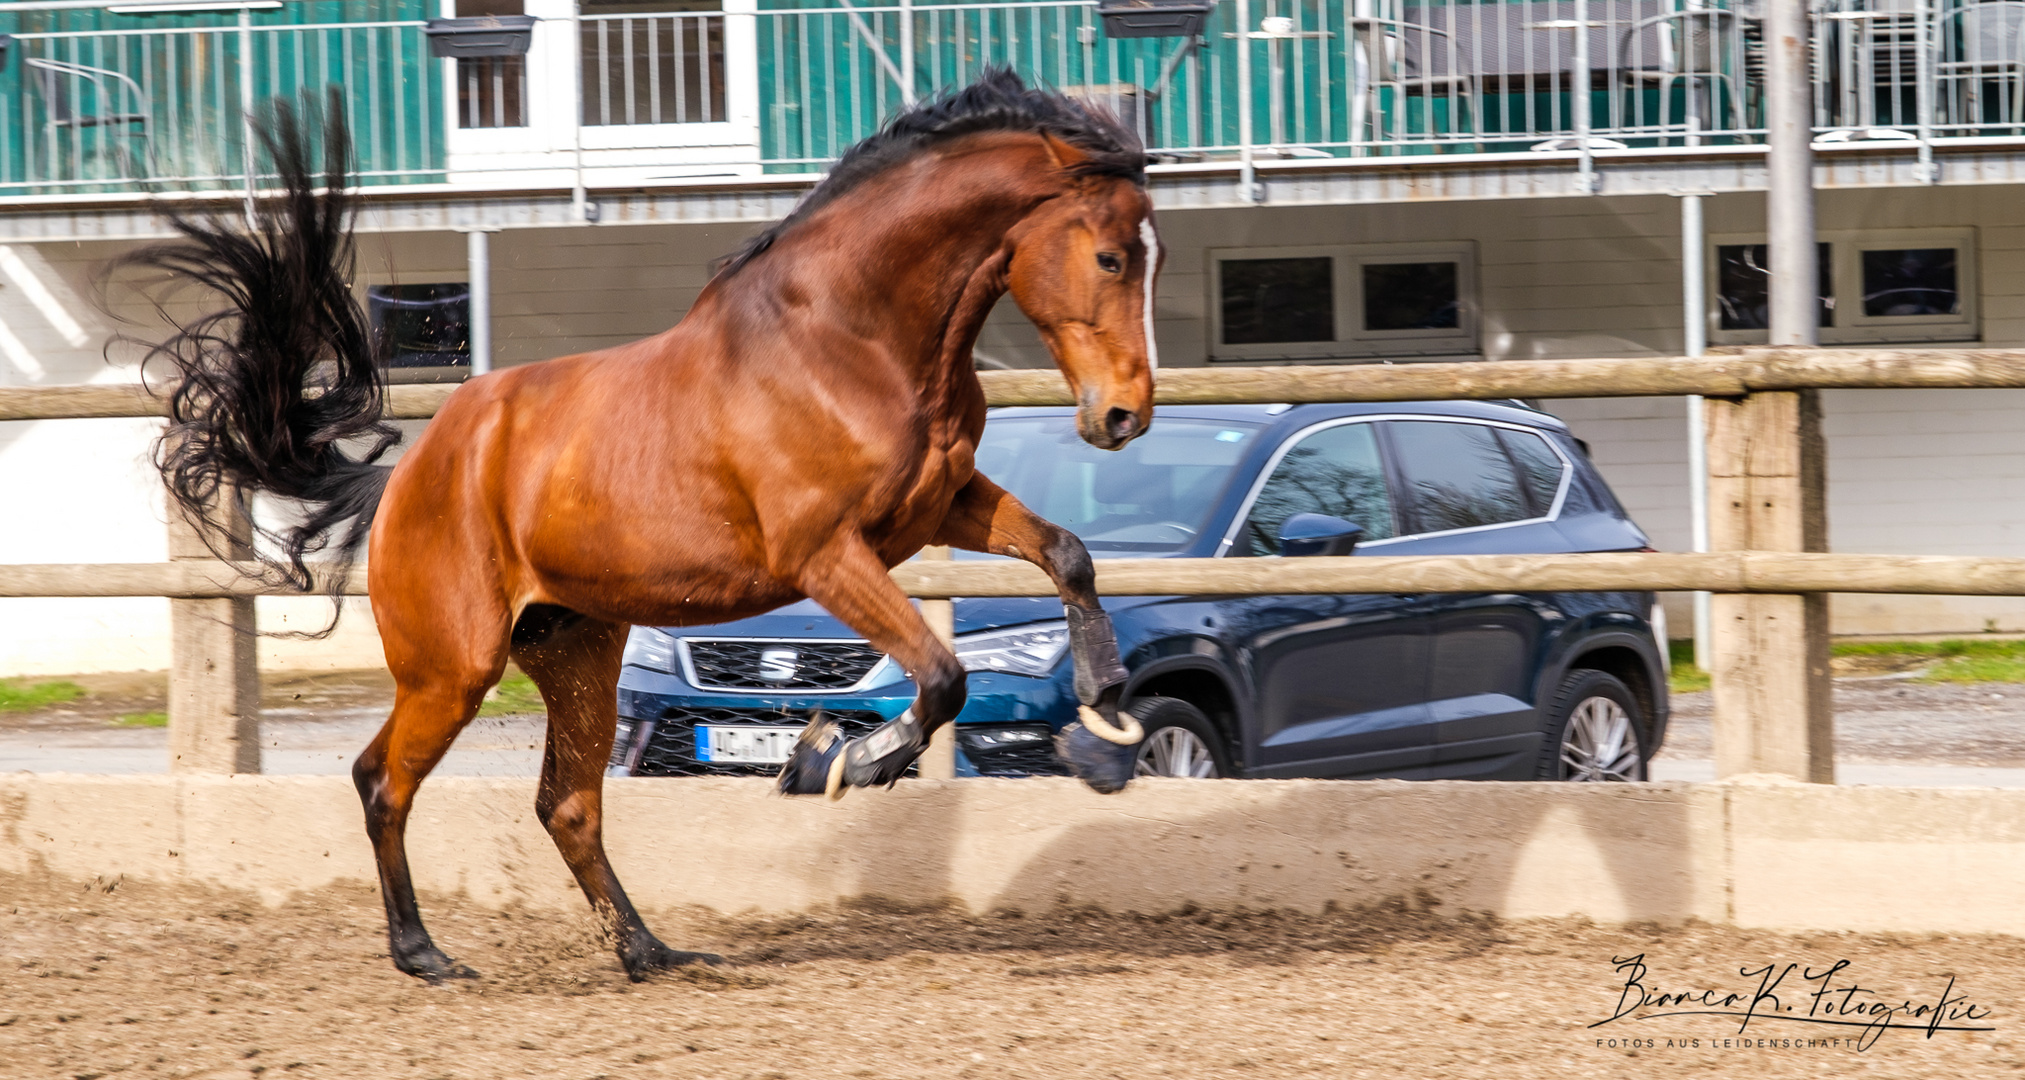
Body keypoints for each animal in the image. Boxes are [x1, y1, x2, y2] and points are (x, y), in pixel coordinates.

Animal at [121, 71, 1163, 983]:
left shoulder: (941, 505)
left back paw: (648, 951)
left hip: (578, 649)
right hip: (454, 667)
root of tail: (406, 473)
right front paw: (833, 762)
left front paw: (1105, 720)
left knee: (568, 806)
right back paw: (425, 955)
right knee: (385, 781)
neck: (851, 338)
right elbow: (942, 676)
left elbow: (1067, 554)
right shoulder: (826, 556)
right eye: (1111, 256)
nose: (1123, 417)